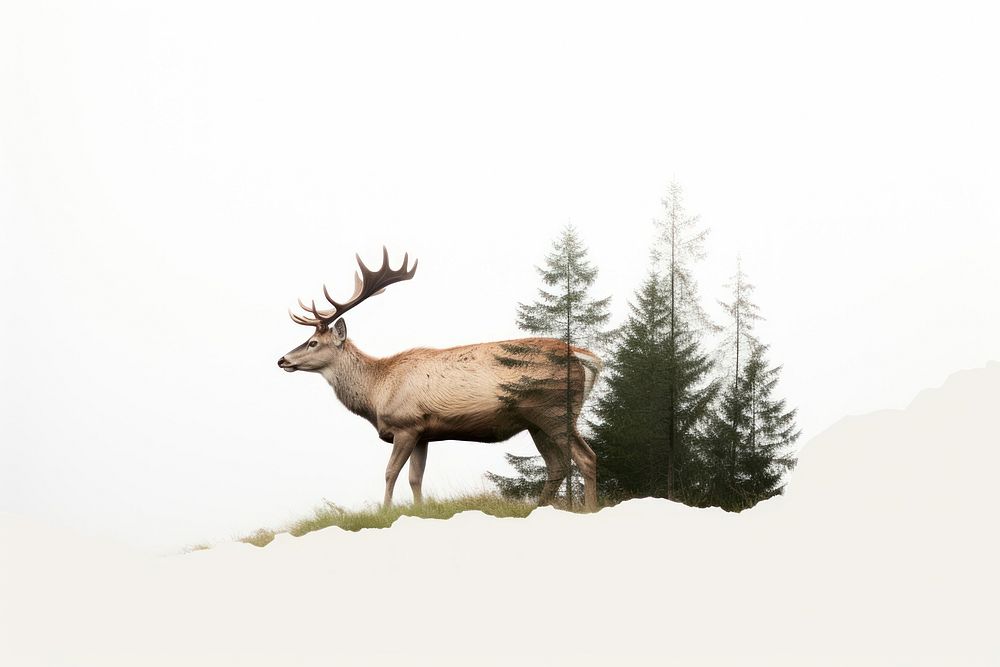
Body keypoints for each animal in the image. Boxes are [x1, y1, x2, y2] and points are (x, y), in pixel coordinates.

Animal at [277, 247, 602, 512]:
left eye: (313, 343)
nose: (282, 360)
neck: (377, 391)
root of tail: (583, 357)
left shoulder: (405, 424)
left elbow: (390, 472)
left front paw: (385, 511)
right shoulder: (423, 432)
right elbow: (415, 478)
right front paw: (419, 510)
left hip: (554, 410)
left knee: (585, 457)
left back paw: (589, 508)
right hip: (534, 421)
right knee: (557, 465)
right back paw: (538, 507)